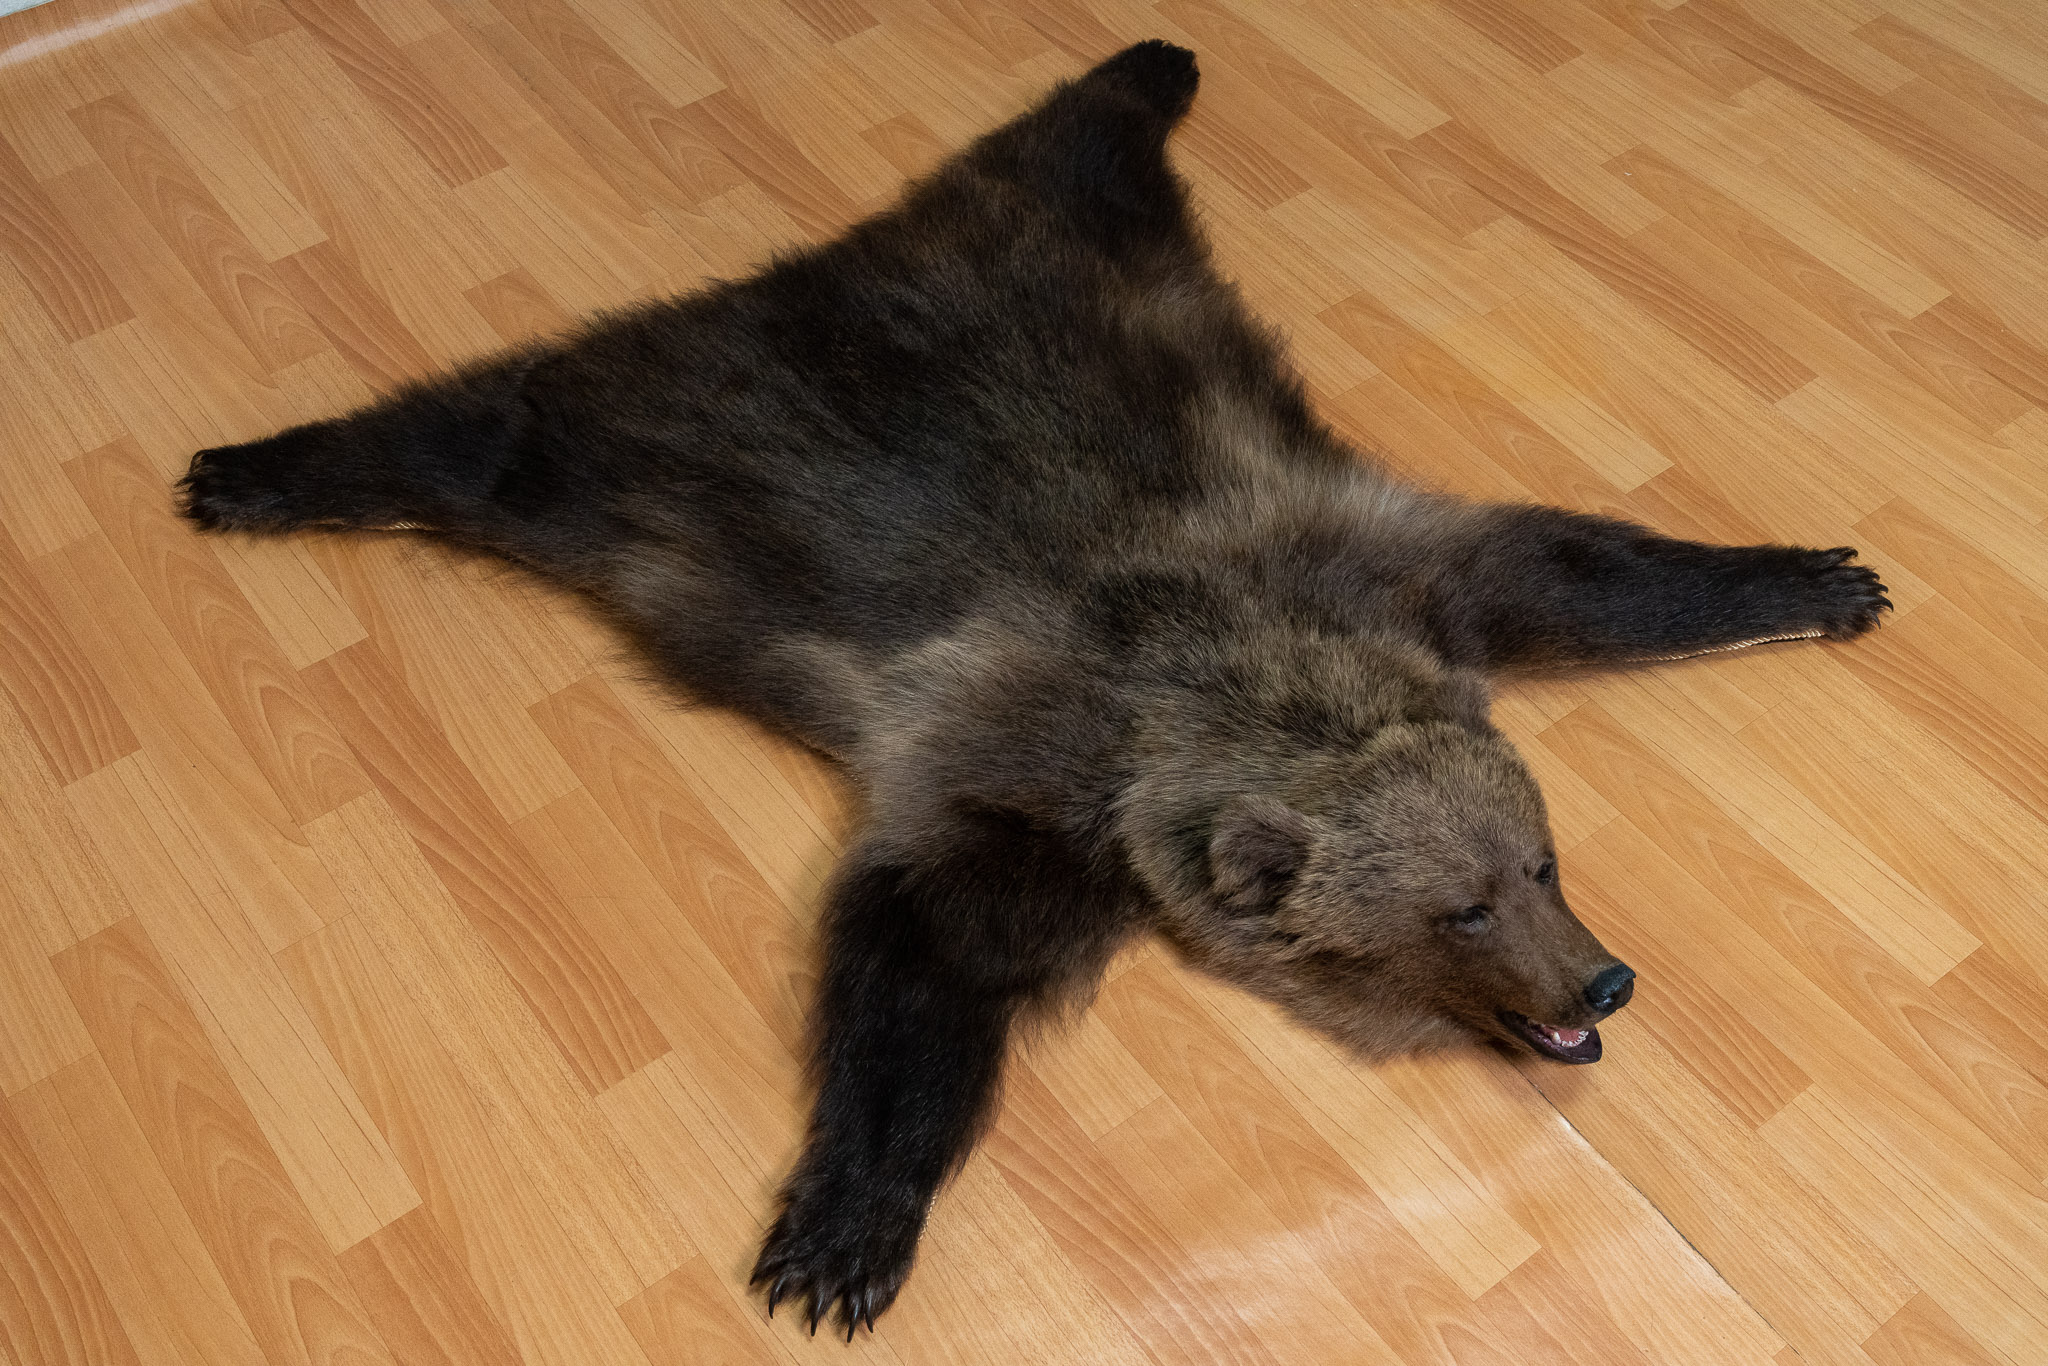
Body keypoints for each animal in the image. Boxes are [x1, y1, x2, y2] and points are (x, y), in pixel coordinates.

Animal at [179, 40, 1889, 1338]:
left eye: (1540, 862)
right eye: (1461, 908)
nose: (1601, 980)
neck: (1225, 679)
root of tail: (819, 269)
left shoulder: (1372, 574)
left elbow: (1565, 566)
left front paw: (1814, 575)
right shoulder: (1031, 781)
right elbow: (921, 958)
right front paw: (840, 1232)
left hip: (1096, 249)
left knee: (1072, 141)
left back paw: (1157, 56)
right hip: (656, 461)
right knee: (493, 431)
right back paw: (254, 466)